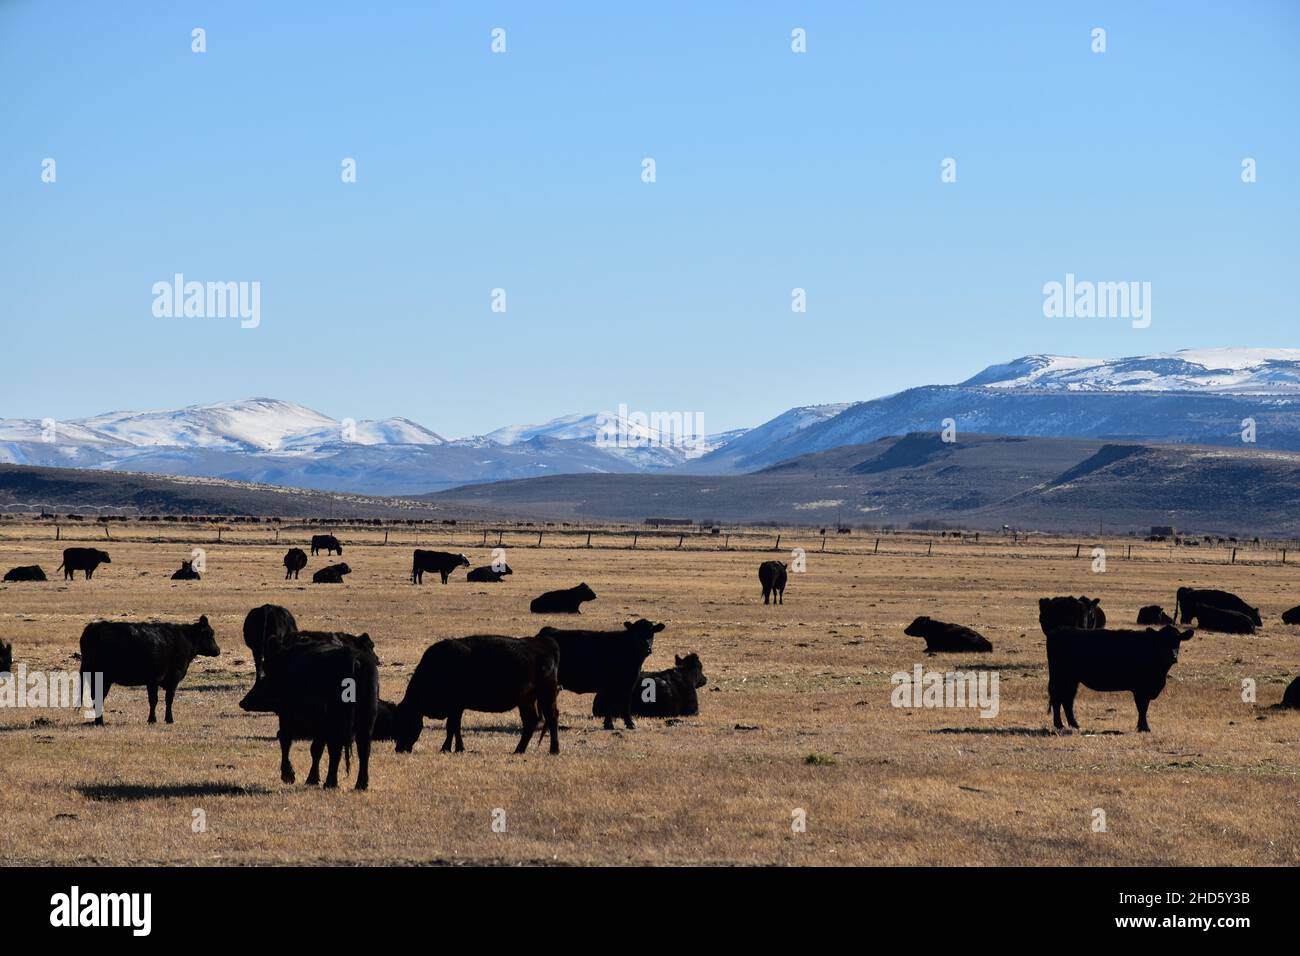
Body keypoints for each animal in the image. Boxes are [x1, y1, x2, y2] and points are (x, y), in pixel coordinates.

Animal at [78, 616, 220, 725]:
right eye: (210, 634)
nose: (217, 650)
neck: (186, 639)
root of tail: (95, 627)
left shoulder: (153, 681)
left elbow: (155, 700)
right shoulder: (170, 678)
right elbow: (164, 699)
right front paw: (164, 719)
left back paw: (98, 721)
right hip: (102, 678)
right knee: (98, 697)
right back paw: (100, 721)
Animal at [239, 633, 378, 790]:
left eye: (267, 675)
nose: (244, 702)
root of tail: (353, 658)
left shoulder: (288, 714)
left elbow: (286, 739)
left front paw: (289, 775)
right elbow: (317, 749)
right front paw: (312, 778)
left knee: (336, 747)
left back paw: (331, 782)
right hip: (366, 718)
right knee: (363, 747)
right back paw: (360, 783)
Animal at [392, 634, 560, 755]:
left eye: (405, 721)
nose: (399, 749)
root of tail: (543, 643)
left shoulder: (455, 706)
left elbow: (452, 726)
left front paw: (448, 748)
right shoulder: (457, 708)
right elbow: (454, 727)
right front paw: (456, 748)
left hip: (540, 697)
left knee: (542, 719)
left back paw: (542, 750)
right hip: (535, 699)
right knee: (539, 720)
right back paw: (532, 750)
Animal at [1046, 625, 1192, 732]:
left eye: (1178, 640)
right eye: (1161, 641)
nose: (1172, 656)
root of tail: (1057, 631)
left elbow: (1144, 707)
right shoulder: (1140, 689)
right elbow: (1142, 707)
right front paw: (1144, 727)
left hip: (1071, 680)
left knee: (1067, 699)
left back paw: (1074, 724)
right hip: (1060, 677)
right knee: (1058, 699)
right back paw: (1060, 725)